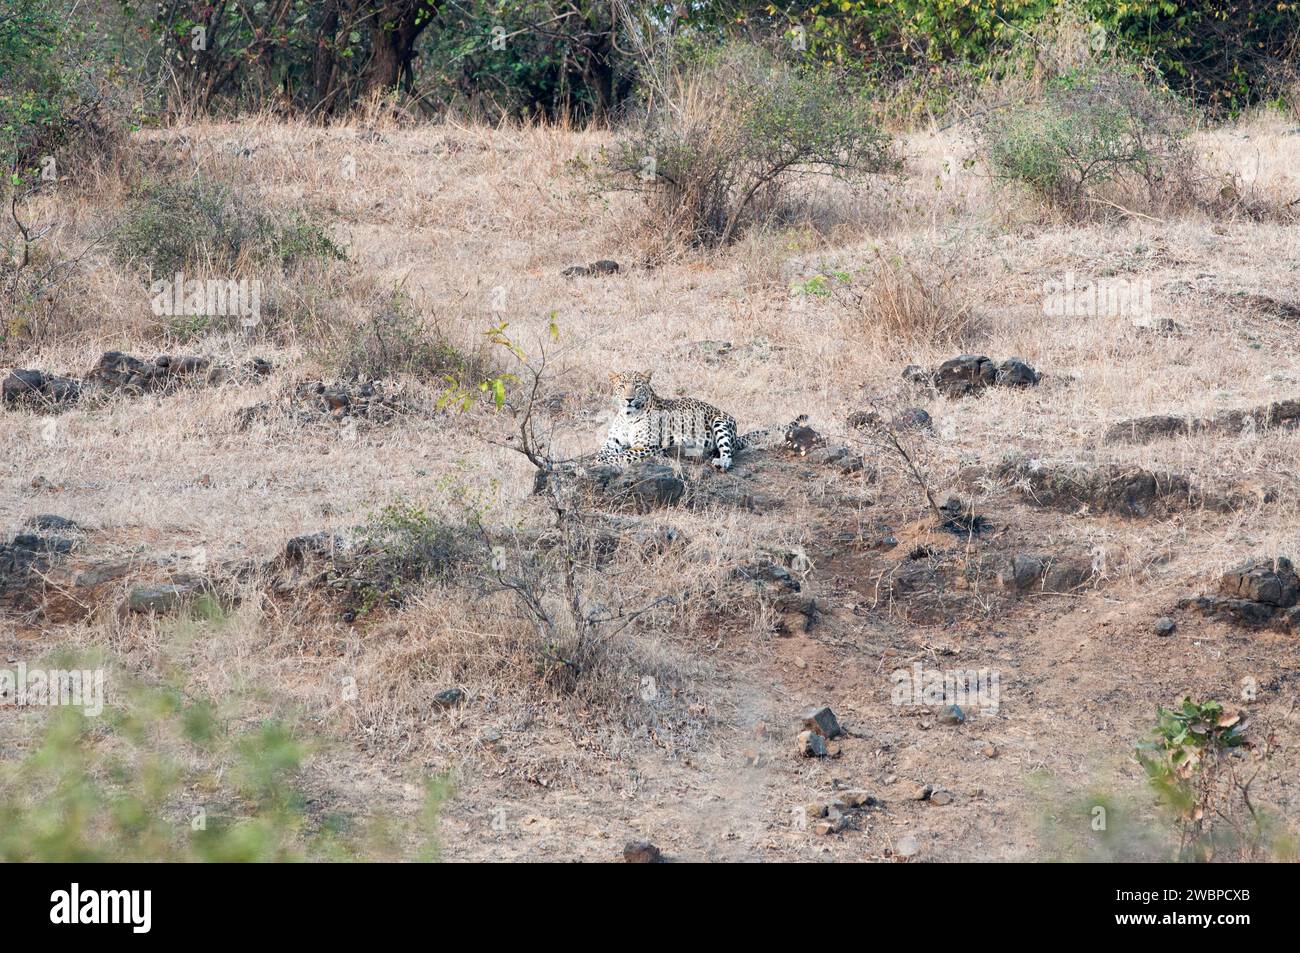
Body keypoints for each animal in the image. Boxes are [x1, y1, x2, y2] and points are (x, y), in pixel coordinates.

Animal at [596, 370, 800, 472]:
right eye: (622, 385)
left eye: (638, 386)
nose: (629, 399)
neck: (628, 416)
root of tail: (736, 434)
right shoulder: (612, 442)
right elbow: (602, 453)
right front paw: (599, 459)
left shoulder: (647, 445)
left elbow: (621, 455)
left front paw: (604, 462)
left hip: (720, 422)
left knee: (728, 451)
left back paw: (720, 461)